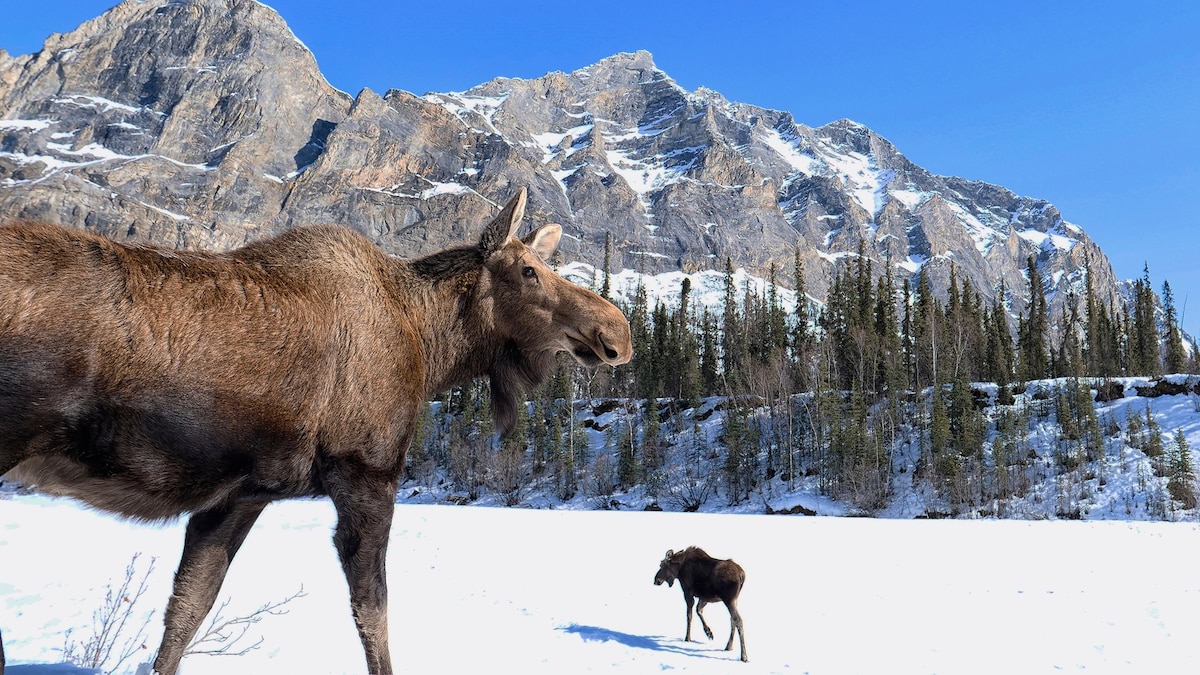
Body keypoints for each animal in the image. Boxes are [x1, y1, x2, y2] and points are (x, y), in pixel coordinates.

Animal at [0, 187, 632, 675]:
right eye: (529, 270)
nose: (618, 332)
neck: (432, 347)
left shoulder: (240, 496)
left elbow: (186, 610)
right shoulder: (367, 475)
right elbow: (373, 616)